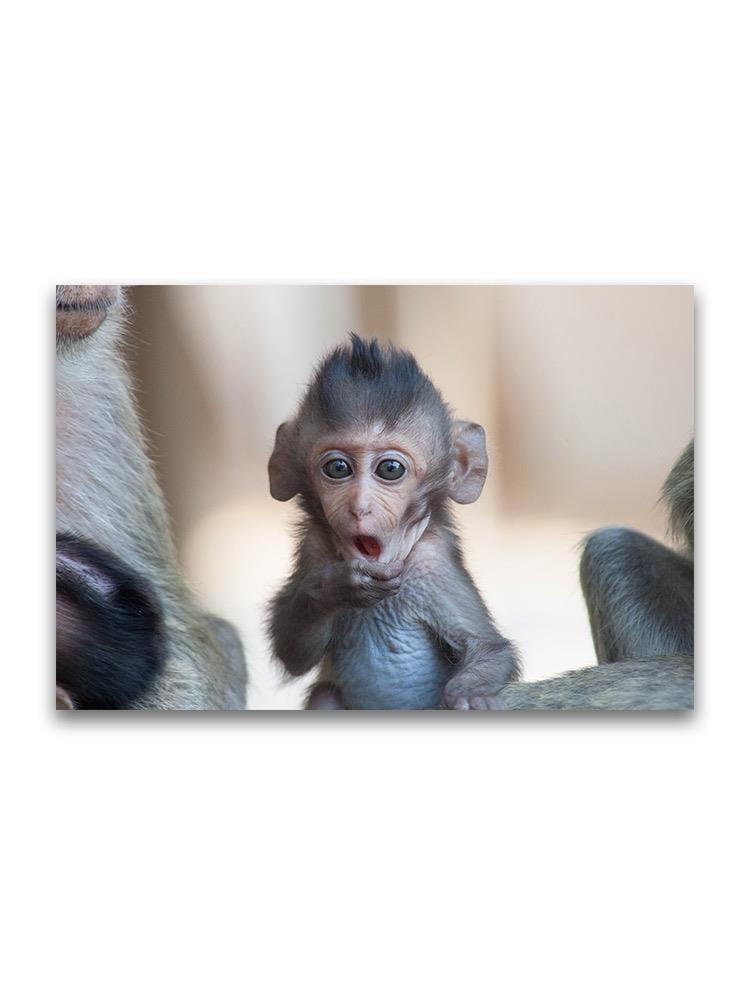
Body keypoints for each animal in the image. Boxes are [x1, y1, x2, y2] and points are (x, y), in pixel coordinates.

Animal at [267, 334, 520, 710]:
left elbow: (489, 649)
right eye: (338, 468)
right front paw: (338, 587)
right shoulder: (315, 547)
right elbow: (293, 652)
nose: (359, 507)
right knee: (325, 694)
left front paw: (471, 694)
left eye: (390, 469)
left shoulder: (432, 565)